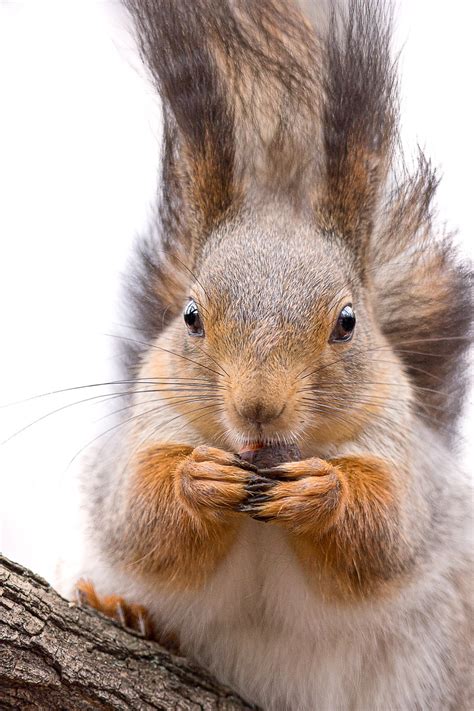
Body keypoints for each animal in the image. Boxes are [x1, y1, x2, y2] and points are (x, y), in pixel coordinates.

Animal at [66, 1, 473, 709]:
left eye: (348, 322)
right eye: (191, 316)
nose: (259, 407)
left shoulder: (406, 459)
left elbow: (384, 534)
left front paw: (323, 491)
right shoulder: (149, 425)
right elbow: (142, 520)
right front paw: (195, 479)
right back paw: (128, 613)